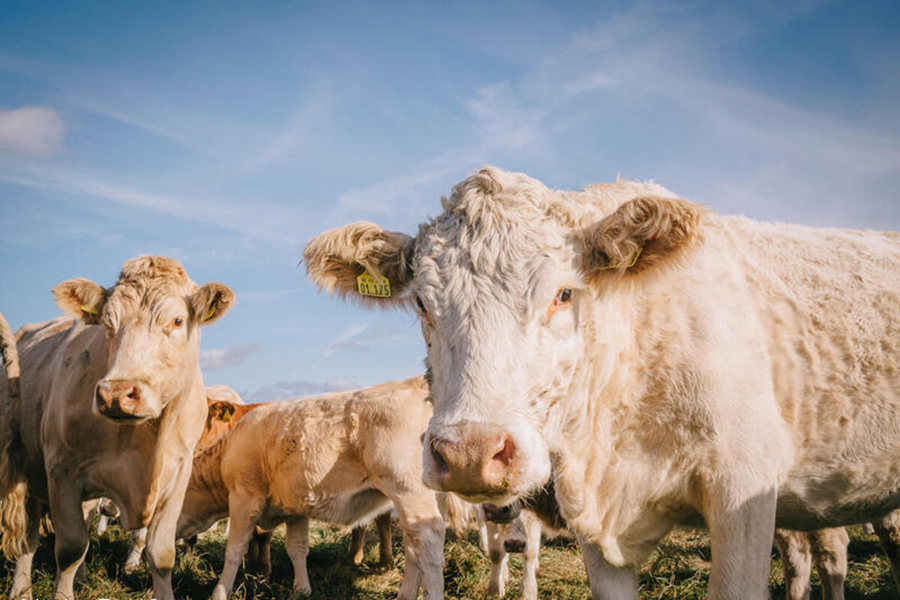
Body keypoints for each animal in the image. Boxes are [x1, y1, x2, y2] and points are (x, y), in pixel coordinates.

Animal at [0, 256, 233, 600]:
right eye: (108, 324)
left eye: (177, 321)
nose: (115, 394)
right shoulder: (62, 470)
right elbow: (70, 548)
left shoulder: (177, 478)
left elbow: (161, 554)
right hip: (27, 469)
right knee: (27, 540)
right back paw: (21, 590)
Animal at [175, 376, 445, 600]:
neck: (228, 450)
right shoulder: (295, 508)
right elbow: (297, 548)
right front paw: (301, 589)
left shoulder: (244, 498)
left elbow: (235, 549)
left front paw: (219, 592)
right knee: (413, 545)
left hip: (408, 490)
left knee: (428, 542)